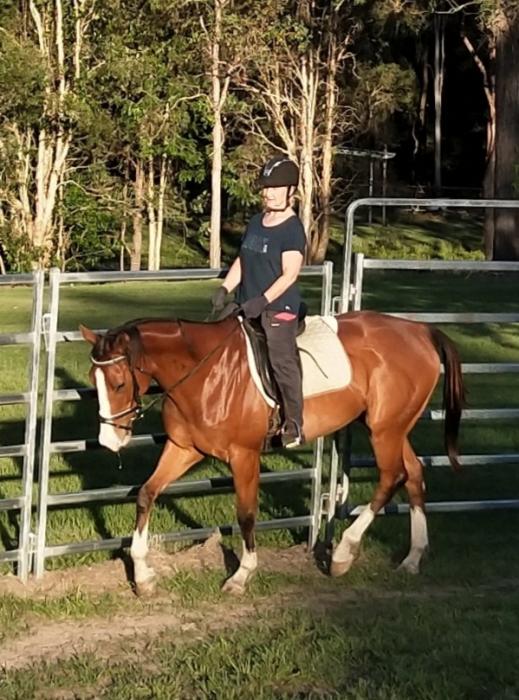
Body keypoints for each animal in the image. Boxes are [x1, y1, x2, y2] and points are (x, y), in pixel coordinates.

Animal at [80, 311, 465, 596]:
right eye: (92, 379)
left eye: (118, 383)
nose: (109, 440)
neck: (205, 372)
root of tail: (419, 330)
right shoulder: (184, 449)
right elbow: (146, 493)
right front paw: (143, 577)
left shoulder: (244, 456)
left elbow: (246, 513)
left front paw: (241, 575)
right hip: (393, 428)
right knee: (413, 475)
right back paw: (412, 558)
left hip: (385, 429)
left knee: (391, 477)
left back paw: (343, 554)